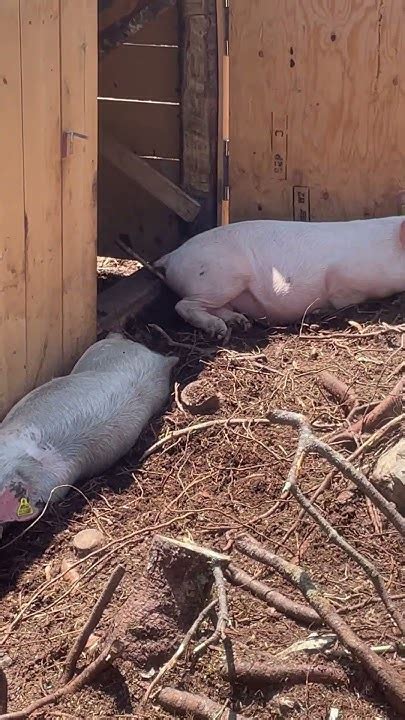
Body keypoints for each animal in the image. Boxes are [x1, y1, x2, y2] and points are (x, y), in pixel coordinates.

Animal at [155, 217, 405, 339]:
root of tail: (172, 256)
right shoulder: (343, 278)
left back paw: (240, 323)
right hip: (221, 279)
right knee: (183, 305)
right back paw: (219, 330)